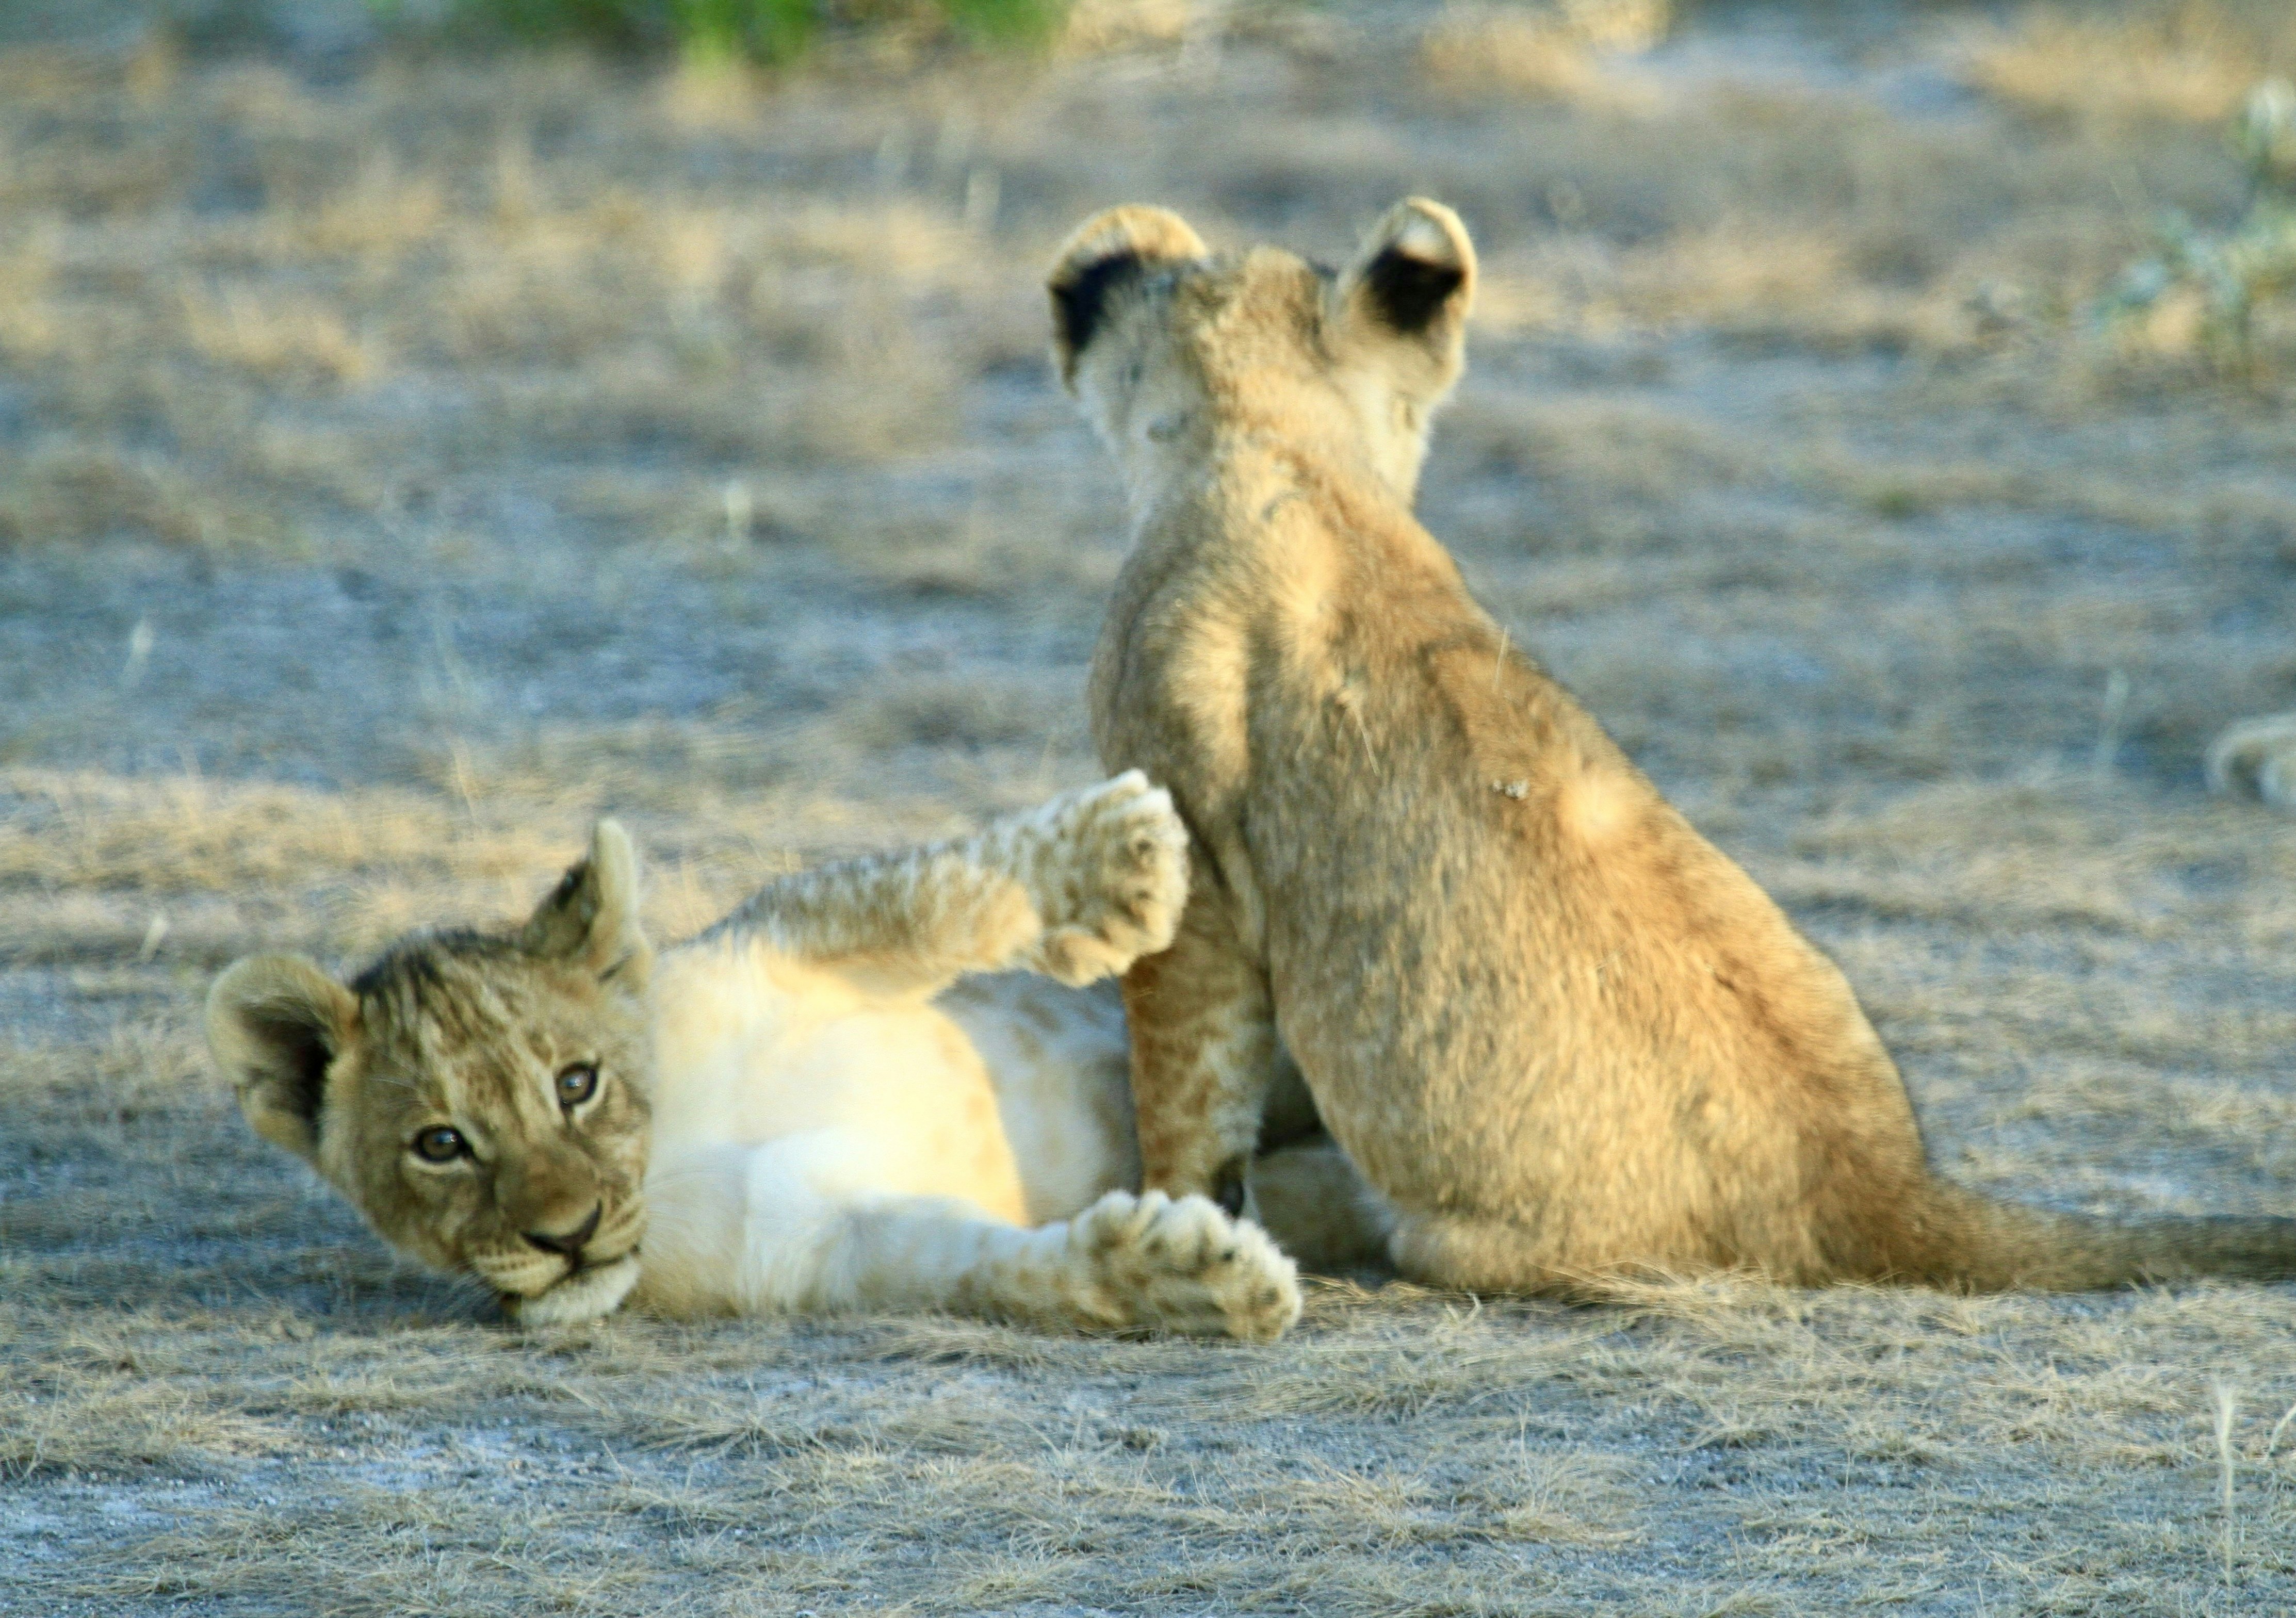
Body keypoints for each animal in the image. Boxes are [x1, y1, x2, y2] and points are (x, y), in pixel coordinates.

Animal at [205, 773, 1310, 1337]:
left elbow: (928, 892)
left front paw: (1122, 856)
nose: (569, 1236)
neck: (672, 1144)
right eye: (440, 1144)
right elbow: (1013, 1273)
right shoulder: (837, 1243)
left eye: (576, 1083)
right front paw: (1200, 1274)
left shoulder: (787, 938)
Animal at [1048, 196, 2296, 1293]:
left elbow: (1186, 1085)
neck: (1285, 447)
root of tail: (1883, 1182)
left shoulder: (1179, 828)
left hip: (1459, 1234)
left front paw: (1169, 1224)